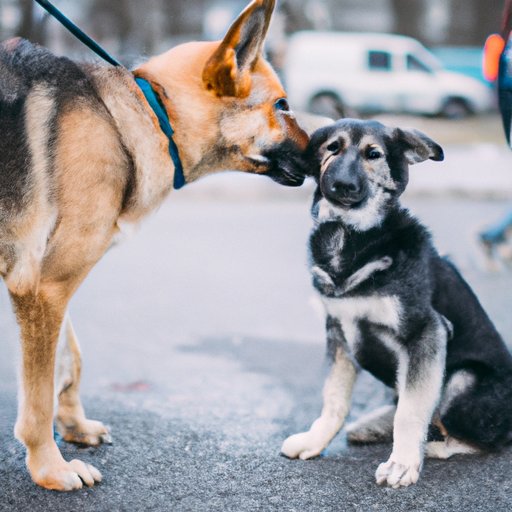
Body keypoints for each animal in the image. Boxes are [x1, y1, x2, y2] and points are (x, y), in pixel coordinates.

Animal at [0, 0, 306, 490]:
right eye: (282, 106)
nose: (329, 149)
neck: (150, 114)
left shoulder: (49, 284)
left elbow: (68, 361)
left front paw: (74, 426)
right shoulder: (45, 287)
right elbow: (39, 394)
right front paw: (49, 468)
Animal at [282, 119, 512, 488]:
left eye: (373, 154)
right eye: (332, 148)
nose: (343, 186)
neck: (350, 233)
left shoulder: (427, 331)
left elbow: (412, 408)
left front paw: (403, 462)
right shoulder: (339, 333)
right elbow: (333, 399)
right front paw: (314, 441)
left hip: (463, 379)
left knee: (486, 440)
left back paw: (432, 447)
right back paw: (374, 425)